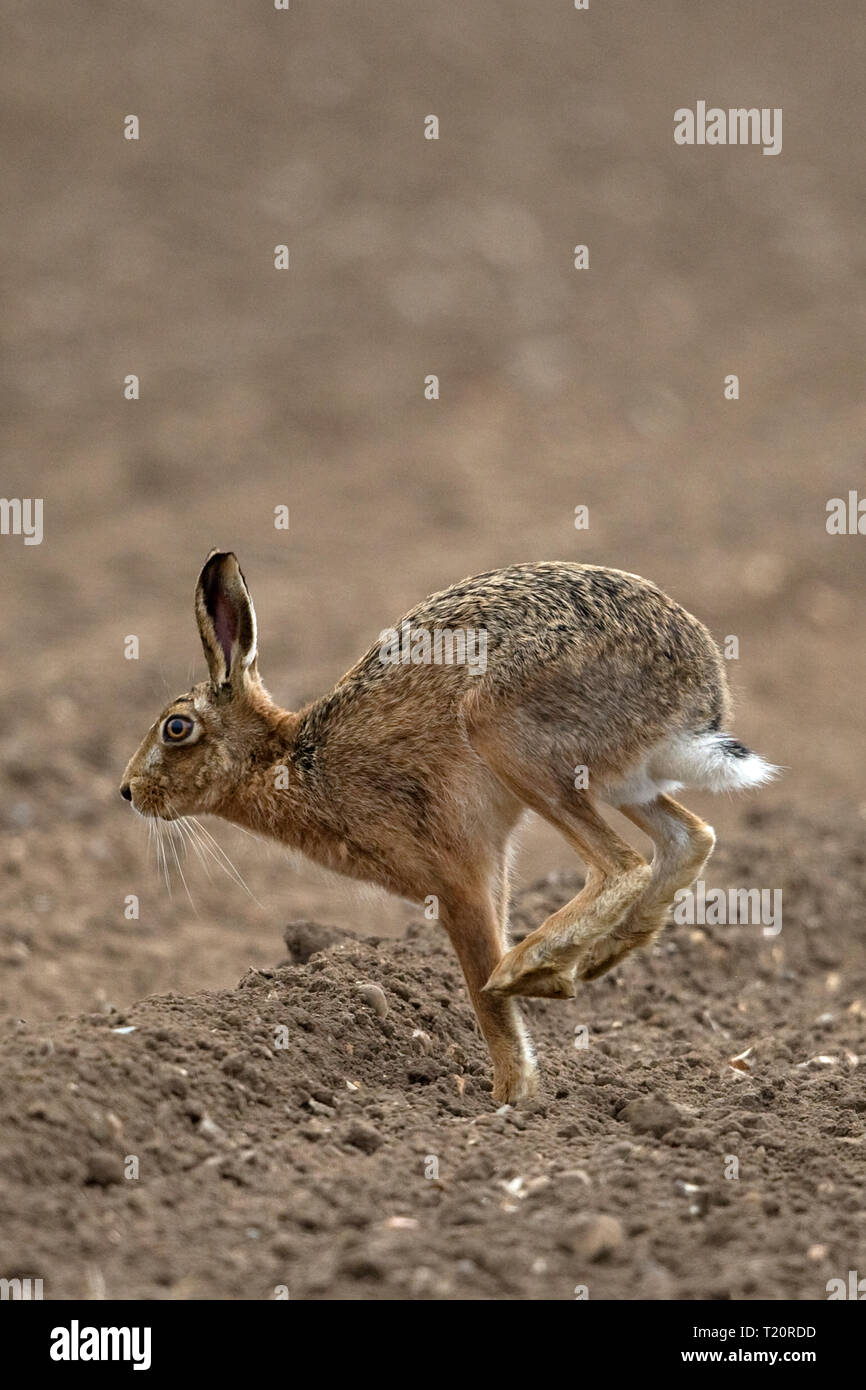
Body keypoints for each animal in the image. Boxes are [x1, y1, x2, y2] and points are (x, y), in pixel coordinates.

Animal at [121, 551, 778, 1104]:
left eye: (176, 728)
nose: (127, 792)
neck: (286, 757)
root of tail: (699, 695)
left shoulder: (456, 875)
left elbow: (483, 989)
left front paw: (510, 1097)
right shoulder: (488, 867)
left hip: (508, 734)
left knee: (621, 865)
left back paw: (523, 971)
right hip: (617, 779)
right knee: (688, 838)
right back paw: (588, 962)